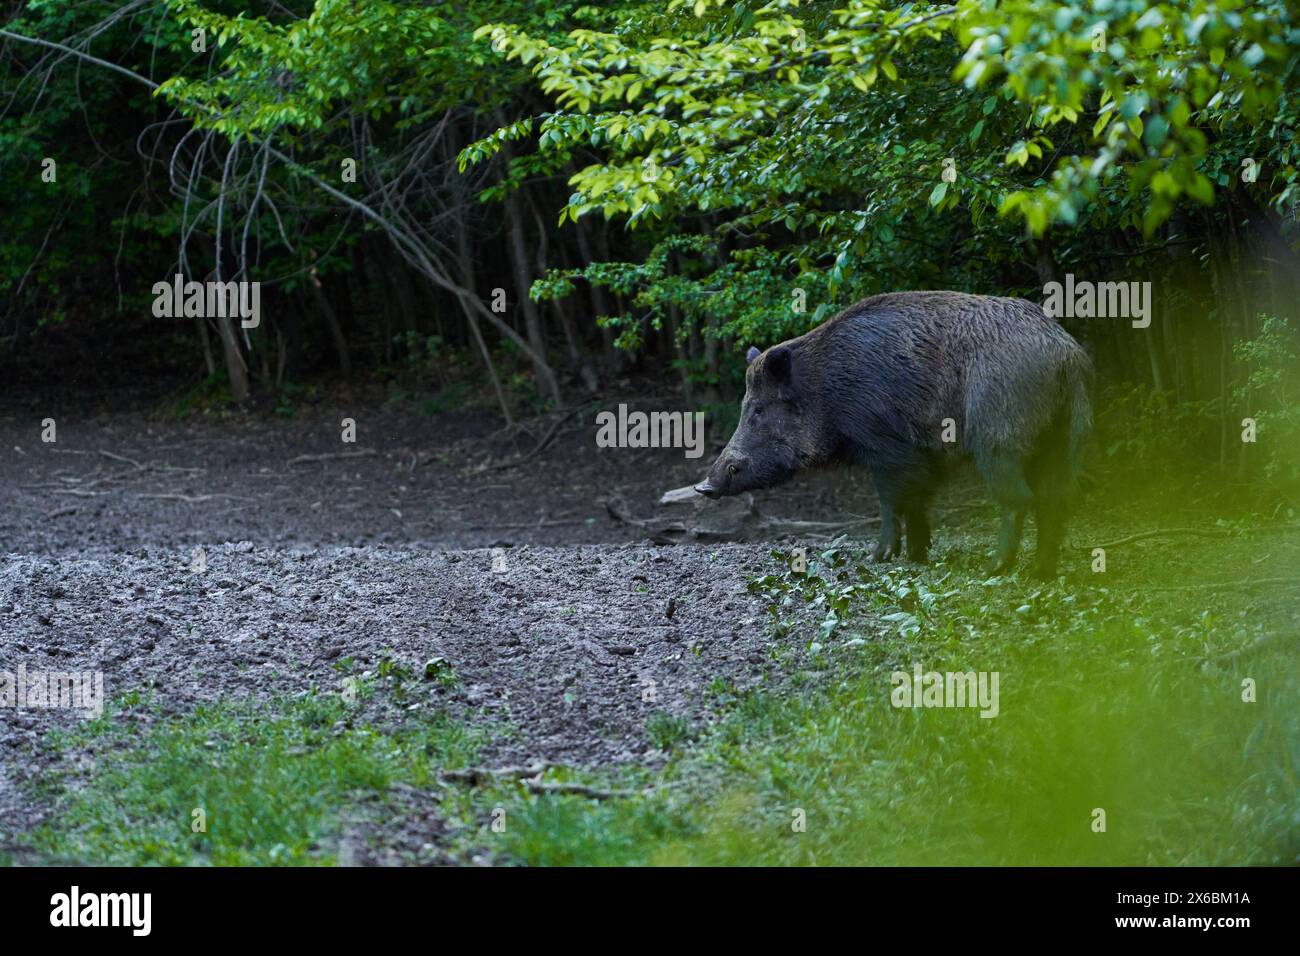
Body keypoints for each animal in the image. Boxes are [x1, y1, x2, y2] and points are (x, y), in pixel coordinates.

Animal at [694, 291, 1092, 578]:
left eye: (758, 410)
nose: (704, 486)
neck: (823, 391)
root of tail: (1067, 354)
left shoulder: (889, 448)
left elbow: (890, 500)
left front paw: (880, 556)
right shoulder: (924, 457)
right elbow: (918, 501)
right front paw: (917, 556)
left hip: (998, 438)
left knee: (1020, 499)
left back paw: (995, 568)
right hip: (1059, 438)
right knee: (1056, 501)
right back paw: (1040, 571)